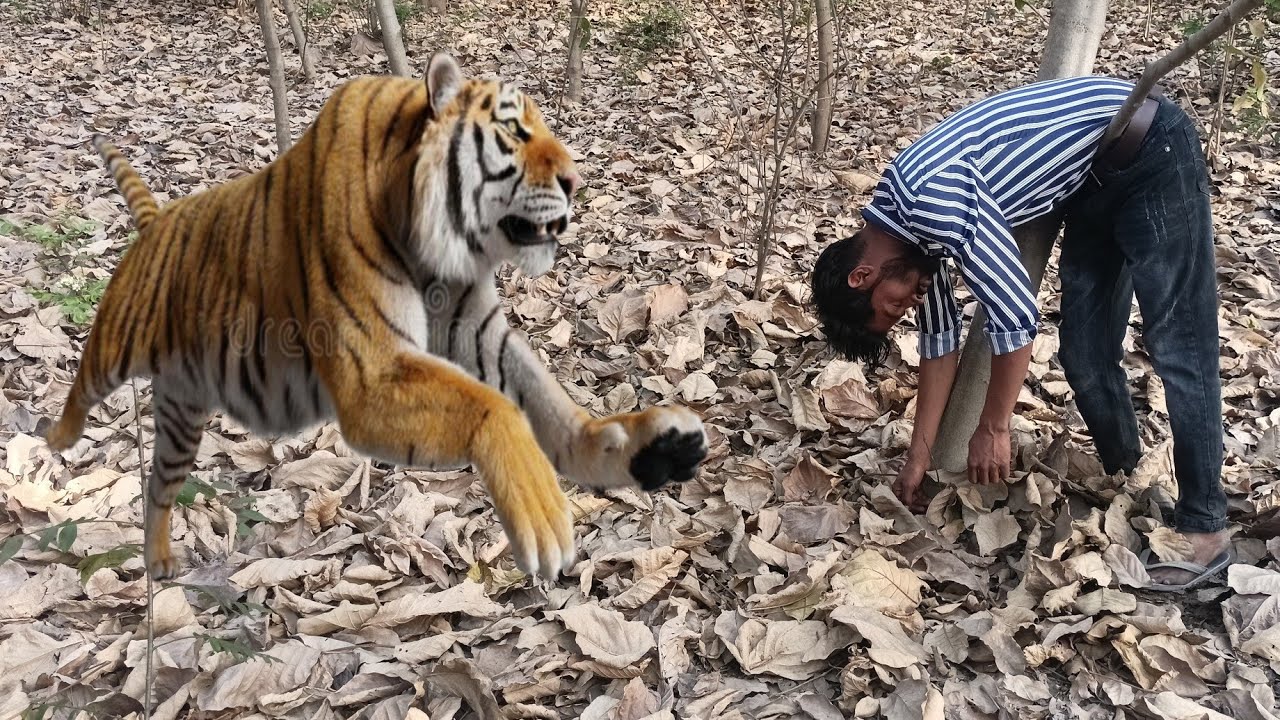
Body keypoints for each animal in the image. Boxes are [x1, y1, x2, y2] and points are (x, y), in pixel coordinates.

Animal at [44, 52, 709, 582]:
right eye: (515, 132)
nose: (576, 181)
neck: (433, 241)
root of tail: (159, 222)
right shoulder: (370, 376)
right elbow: (492, 407)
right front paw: (541, 511)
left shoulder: (478, 330)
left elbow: (545, 403)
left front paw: (638, 445)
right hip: (117, 340)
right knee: (84, 381)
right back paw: (54, 441)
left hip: (183, 417)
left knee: (158, 487)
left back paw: (157, 562)